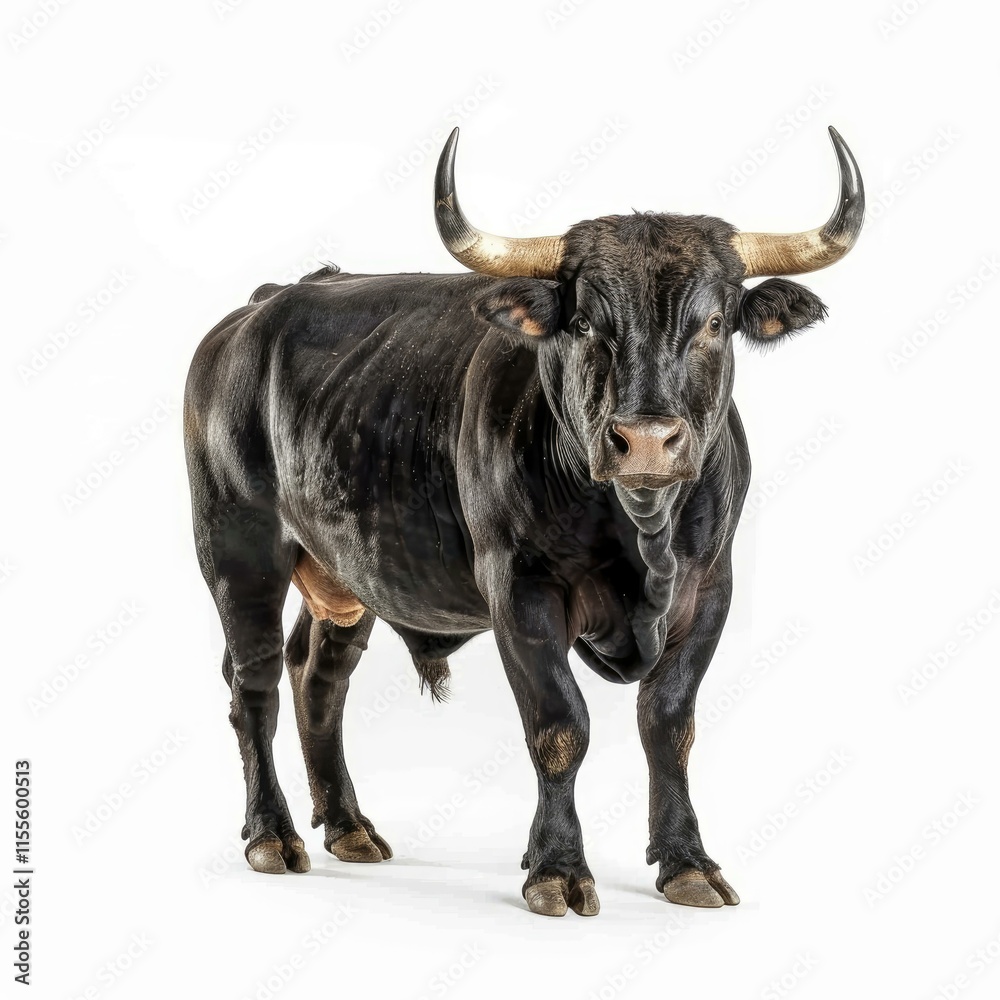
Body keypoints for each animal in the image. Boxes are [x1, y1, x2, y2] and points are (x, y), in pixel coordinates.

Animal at [184, 125, 864, 916]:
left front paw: (687, 863)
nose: (646, 441)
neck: (643, 538)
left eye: (715, 324)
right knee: (253, 684)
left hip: (346, 571)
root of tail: (259, 310)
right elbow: (561, 725)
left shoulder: (710, 590)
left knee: (319, 676)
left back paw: (349, 826)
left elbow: (668, 724)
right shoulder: (521, 590)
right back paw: (272, 834)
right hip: (238, 549)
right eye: (585, 323)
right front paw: (557, 869)